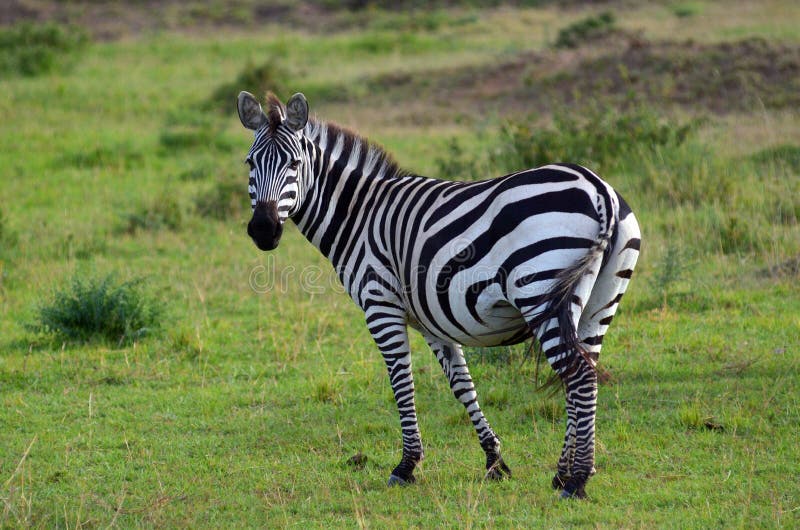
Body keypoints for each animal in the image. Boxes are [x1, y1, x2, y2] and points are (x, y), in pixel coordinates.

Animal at [237, 91, 640, 499]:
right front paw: (494, 461)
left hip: (539, 289)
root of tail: (599, 189)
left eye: (294, 163)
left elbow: (402, 382)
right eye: (250, 163)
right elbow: (462, 385)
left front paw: (406, 465)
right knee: (584, 370)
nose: (264, 230)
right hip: (599, 300)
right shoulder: (431, 318)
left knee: (578, 375)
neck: (359, 215)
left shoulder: (380, 305)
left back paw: (576, 480)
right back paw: (564, 471)